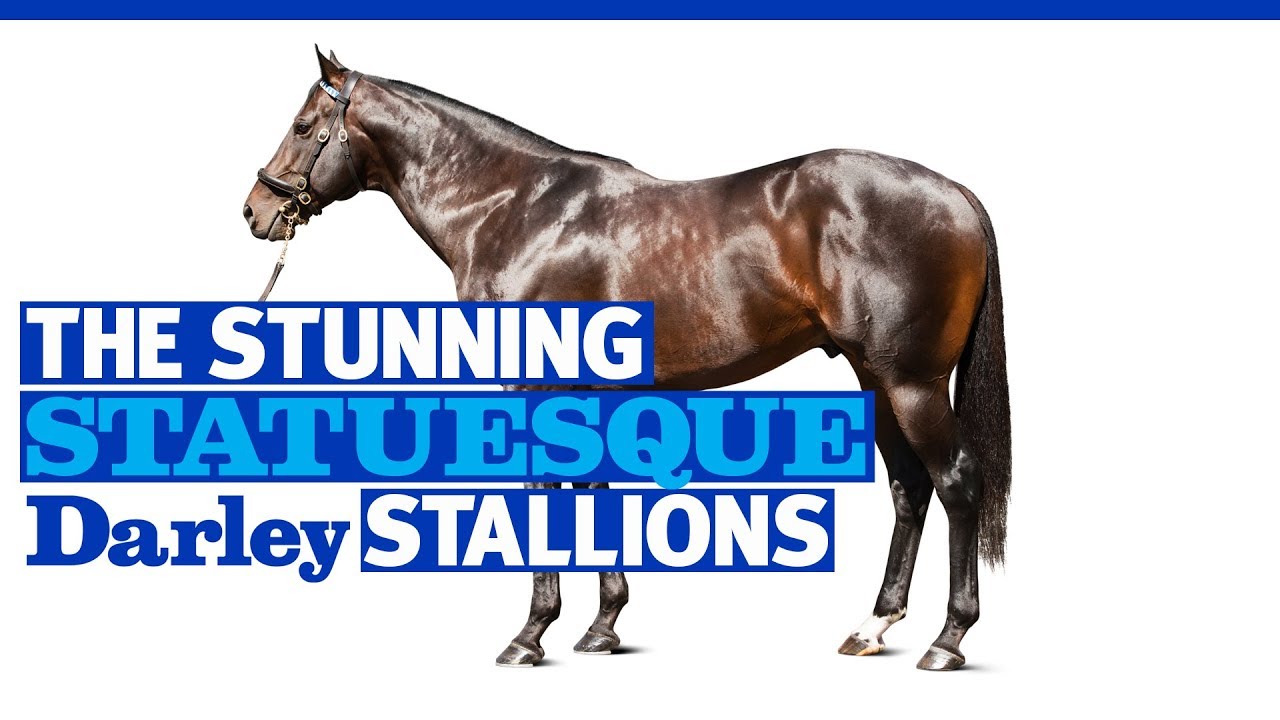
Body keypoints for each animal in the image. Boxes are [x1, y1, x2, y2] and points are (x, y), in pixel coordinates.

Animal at [243, 47, 1012, 672]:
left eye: (305, 127)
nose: (255, 212)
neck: (513, 209)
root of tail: (956, 194)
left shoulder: (534, 388)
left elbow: (547, 496)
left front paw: (530, 636)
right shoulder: (585, 389)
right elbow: (595, 490)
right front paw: (602, 627)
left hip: (911, 383)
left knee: (956, 482)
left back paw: (948, 641)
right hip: (875, 379)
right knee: (910, 488)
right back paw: (873, 627)